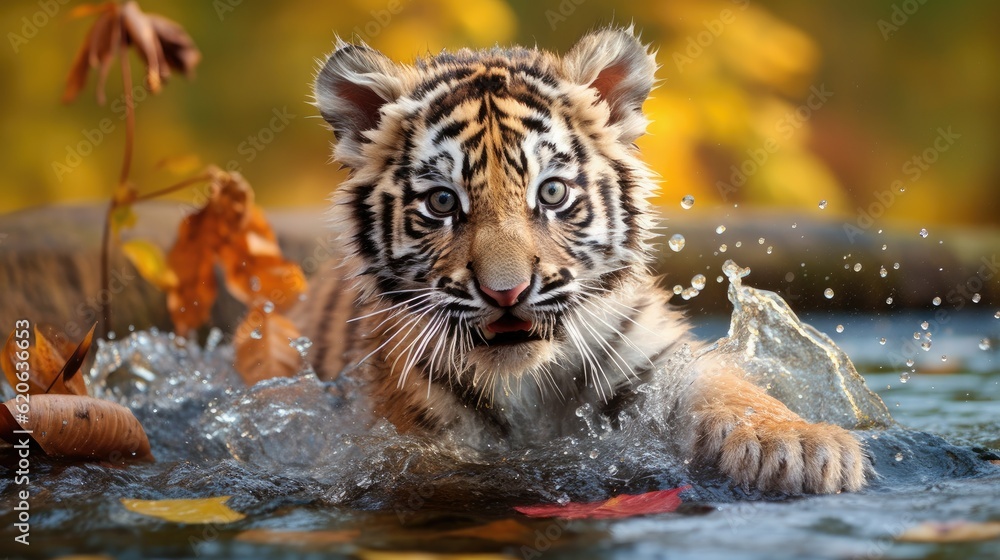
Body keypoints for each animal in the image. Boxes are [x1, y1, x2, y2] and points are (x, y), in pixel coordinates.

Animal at [295, 26, 867, 494]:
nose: (506, 292)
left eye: (551, 193)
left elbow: (723, 383)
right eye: (442, 202)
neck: (529, 384)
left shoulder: (653, 359)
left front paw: (799, 447)